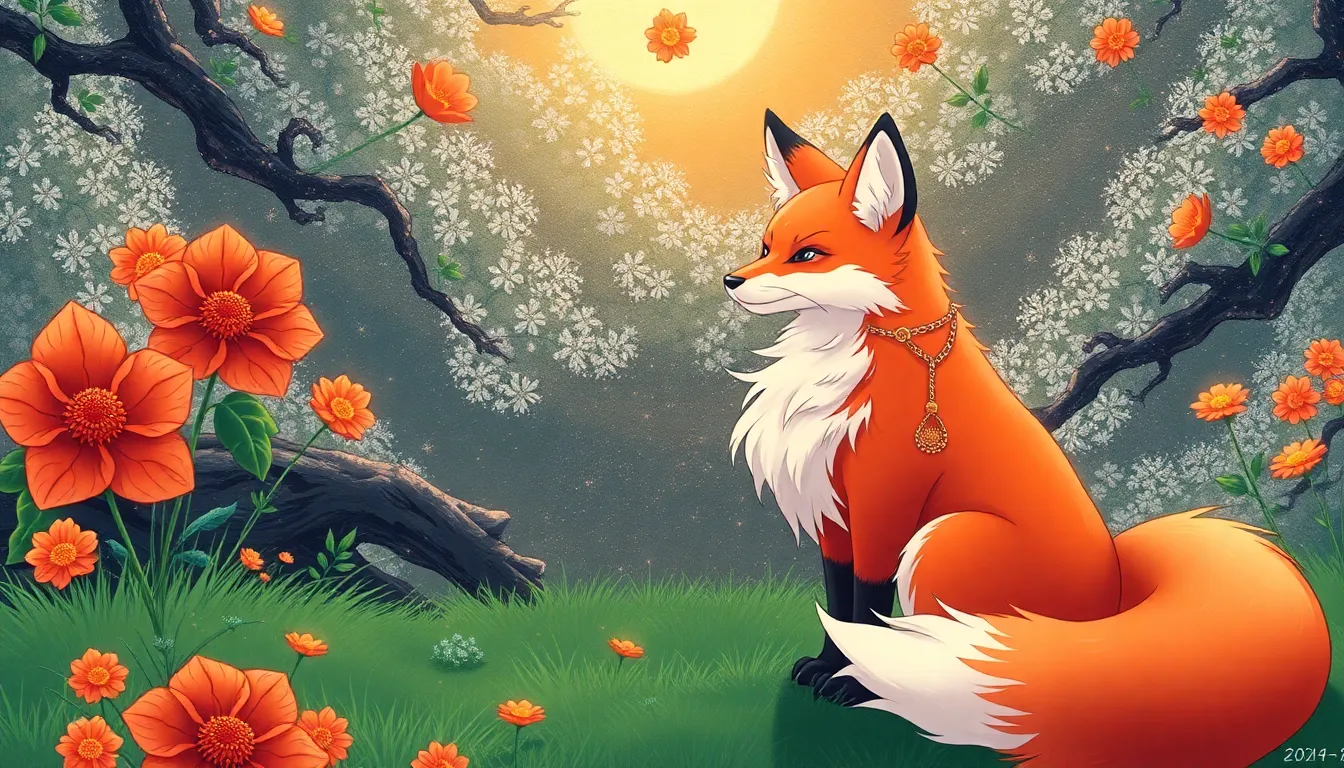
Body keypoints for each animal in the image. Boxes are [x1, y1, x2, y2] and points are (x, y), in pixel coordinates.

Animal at [724, 109, 1332, 767]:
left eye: (807, 254)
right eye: (766, 247)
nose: (729, 279)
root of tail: (1113, 610)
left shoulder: (884, 506)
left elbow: (864, 606)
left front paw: (854, 685)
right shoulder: (834, 513)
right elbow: (838, 600)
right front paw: (827, 667)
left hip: (945, 538)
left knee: (983, 661)